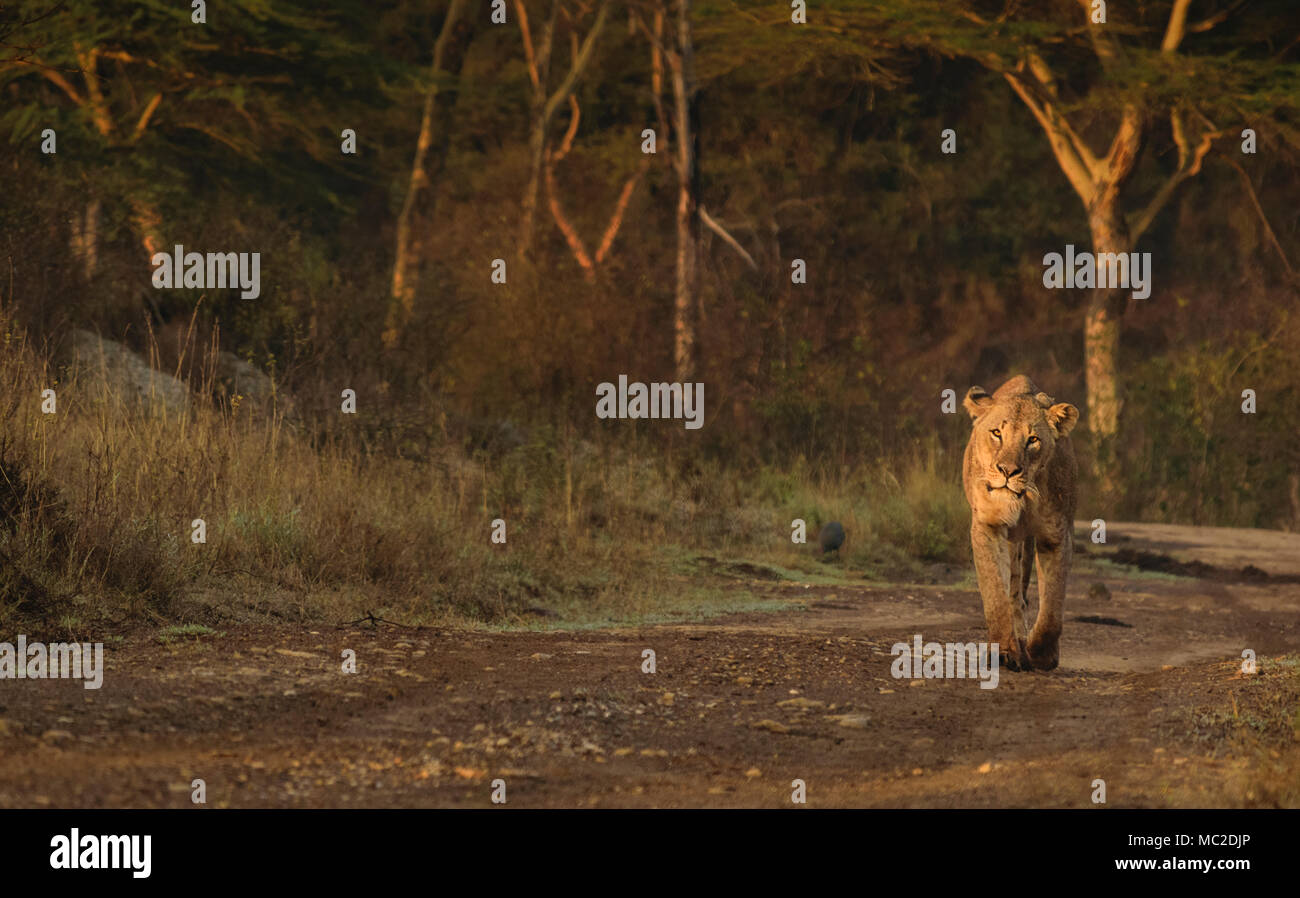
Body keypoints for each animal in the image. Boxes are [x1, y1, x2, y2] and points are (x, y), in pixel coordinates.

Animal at [961, 375, 1078, 672]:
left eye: (1032, 440)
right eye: (996, 433)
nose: (1007, 471)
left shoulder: (1056, 535)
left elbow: (1052, 606)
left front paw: (1043, 654)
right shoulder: (988, 527)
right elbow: (995, 595)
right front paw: (1004, 651)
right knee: (1013, 592)